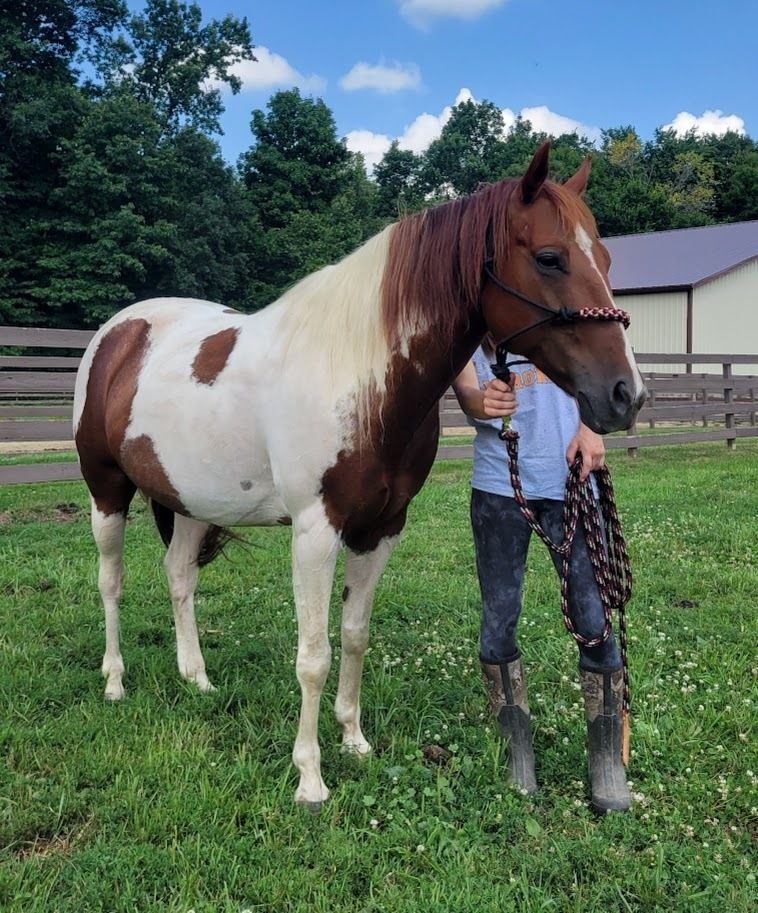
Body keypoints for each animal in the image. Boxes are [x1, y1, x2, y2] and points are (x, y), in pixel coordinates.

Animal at [73, 142, 645, 808]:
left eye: (604, 258)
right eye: (550, 258)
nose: (625, 395)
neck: (358, 376)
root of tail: (120, 332)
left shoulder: (380, 529)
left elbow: (352, 635)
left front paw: (353, 739)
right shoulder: (315, 532)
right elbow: (313, 656)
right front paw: (310, 779)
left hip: (191, 501)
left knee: (179, 577)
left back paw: (197, 679)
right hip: (106, 490)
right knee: (111, 582)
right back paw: (114, 682)